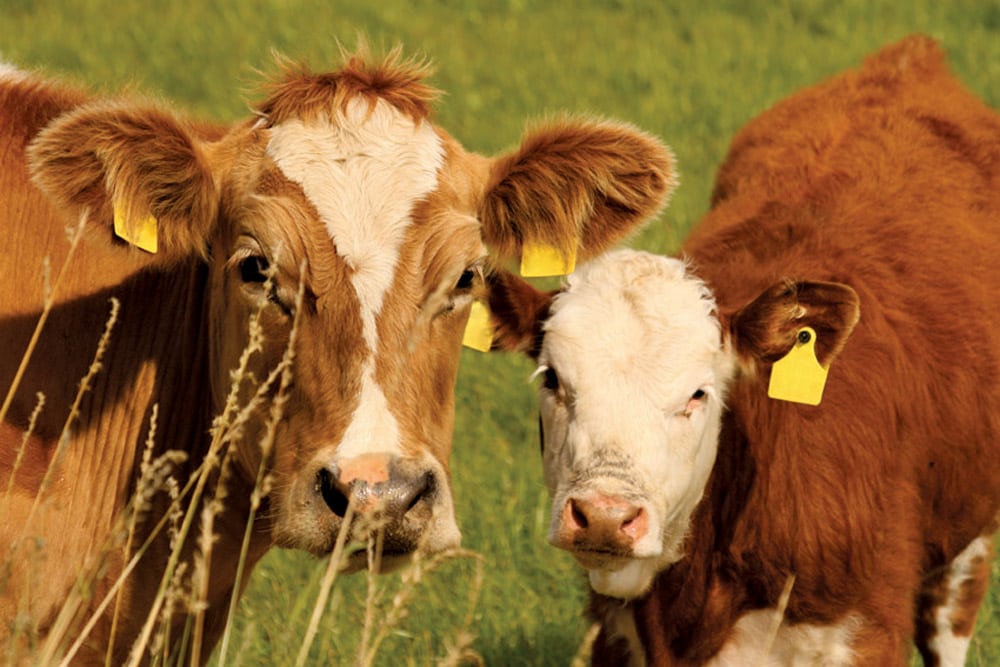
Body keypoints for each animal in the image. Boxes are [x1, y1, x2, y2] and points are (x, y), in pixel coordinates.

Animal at [486, 35, 1000, 666]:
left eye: (698, 394)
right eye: (552, 379)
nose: (606, 516)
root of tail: (908, 55)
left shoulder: (865, 631)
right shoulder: (616, 633)